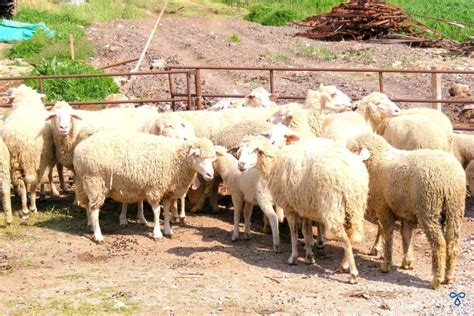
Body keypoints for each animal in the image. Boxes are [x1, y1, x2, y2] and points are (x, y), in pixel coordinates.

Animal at [72, 131, 217, 242]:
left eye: (212, 159)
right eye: (197, 156)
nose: (210, 174)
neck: (175, 158)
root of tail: (79, 148)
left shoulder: (167, 191)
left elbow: (167, 210)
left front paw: (168, 230)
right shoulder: (155, 188)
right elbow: (157, 211)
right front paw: (157, 233)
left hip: (85, 182)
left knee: (88, 204)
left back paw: (91, 225)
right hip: (95, 182)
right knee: (94, 209)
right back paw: (98, 235)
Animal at [239, 135, 368, 282]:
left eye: (254, 150)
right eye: (240, 150)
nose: (240, 165)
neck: (275, 164)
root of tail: (352, 178)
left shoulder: (290, 207)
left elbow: (294, 233)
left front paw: (293, 257)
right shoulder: (305, 207)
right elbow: (306, 232)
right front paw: (309, 256)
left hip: (332, 208)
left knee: (346, 239)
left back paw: (353, 273)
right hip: (355, 209)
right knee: (353, 237)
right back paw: (344, 265)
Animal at [346, 133, 464, 288]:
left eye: (352, 151)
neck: (374, 161)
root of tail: (451, 179)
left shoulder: (383, 208)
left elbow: (388, 235)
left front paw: (386, 265)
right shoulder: (406, 214)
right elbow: (406, 236)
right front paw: (406, 263)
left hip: (429, 209)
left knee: (439, 244)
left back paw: (436, 279)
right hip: (454, 210)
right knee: (452, 243)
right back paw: (448, 277)